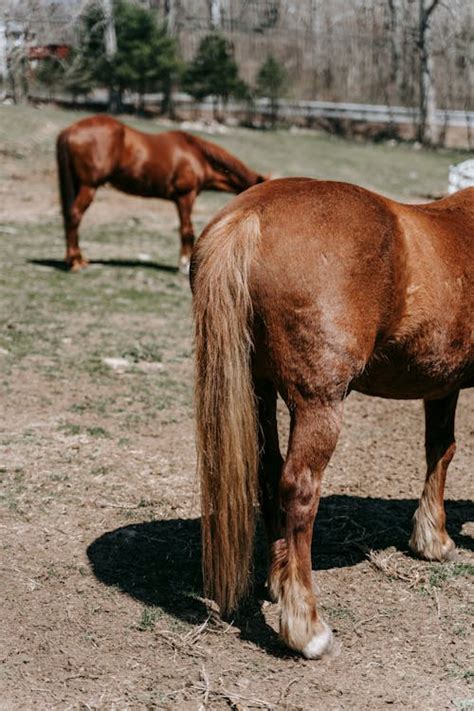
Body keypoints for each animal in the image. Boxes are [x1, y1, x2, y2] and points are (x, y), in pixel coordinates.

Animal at [56, 115, 266, 273]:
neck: (197, 155)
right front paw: (184, 265)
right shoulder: (185, 196)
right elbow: (187, 230)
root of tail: (70, 130)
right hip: (88, 186)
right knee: (74, 216)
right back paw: (76, 262)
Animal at [192, 178, 473, 658]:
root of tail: (250, 215)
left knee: (269, 474)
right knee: (298, 489)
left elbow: (440, 450)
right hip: (318, 404)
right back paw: (306, 626)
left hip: (259, 387)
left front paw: (432, 539)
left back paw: (279, 582)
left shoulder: (442, 382)